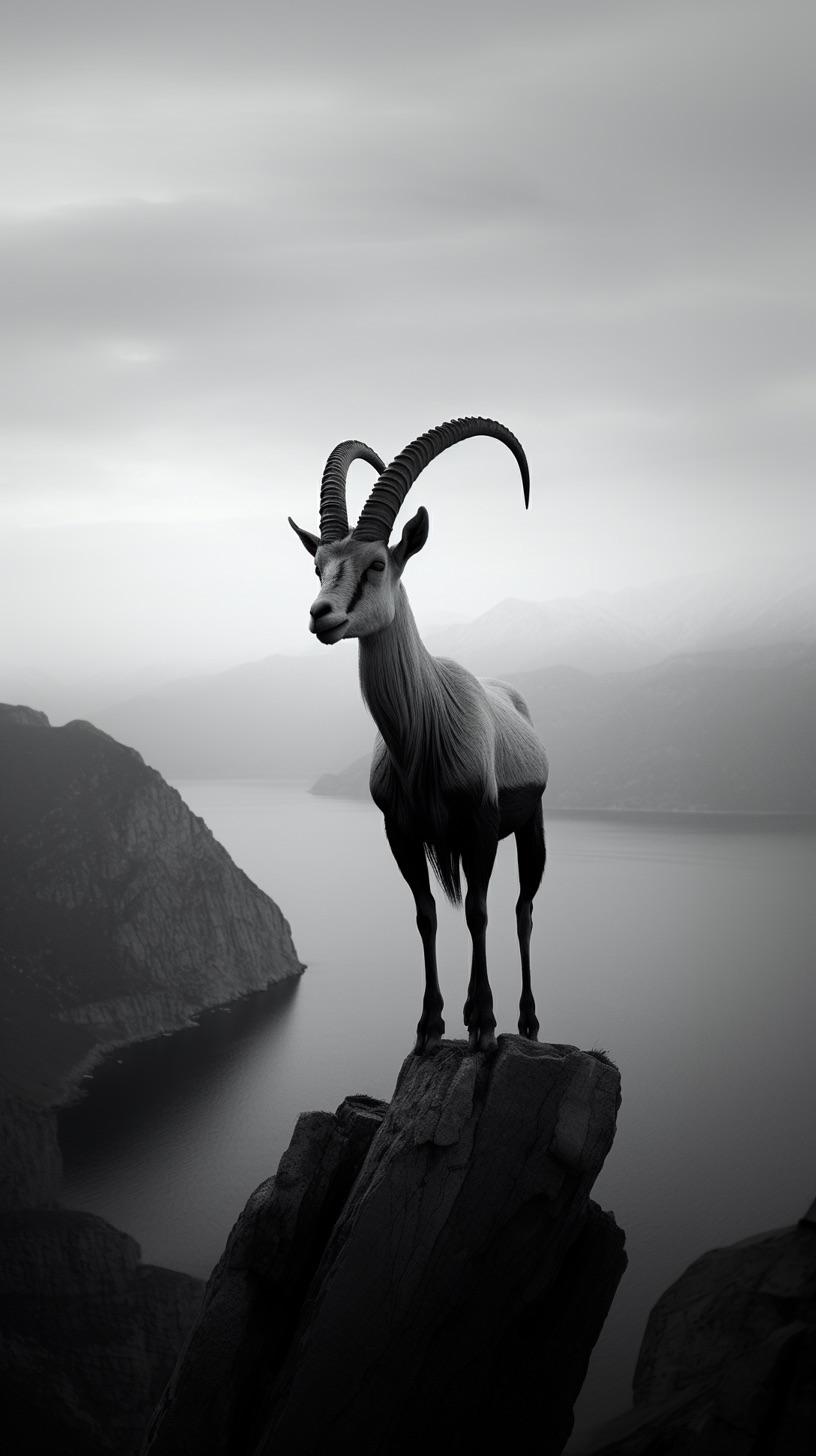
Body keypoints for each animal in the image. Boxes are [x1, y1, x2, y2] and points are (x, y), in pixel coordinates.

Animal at [289, 418, 548, 1053]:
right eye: (317, 565)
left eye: (377, 563)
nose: (321, 615)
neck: (425, 727)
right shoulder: (402, 831)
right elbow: (427, 914)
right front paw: (431, 1026)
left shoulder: (480, 823)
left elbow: (478, 911)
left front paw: (484, 1024)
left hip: (529, 827)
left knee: (521, 909)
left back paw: (527, 1019)